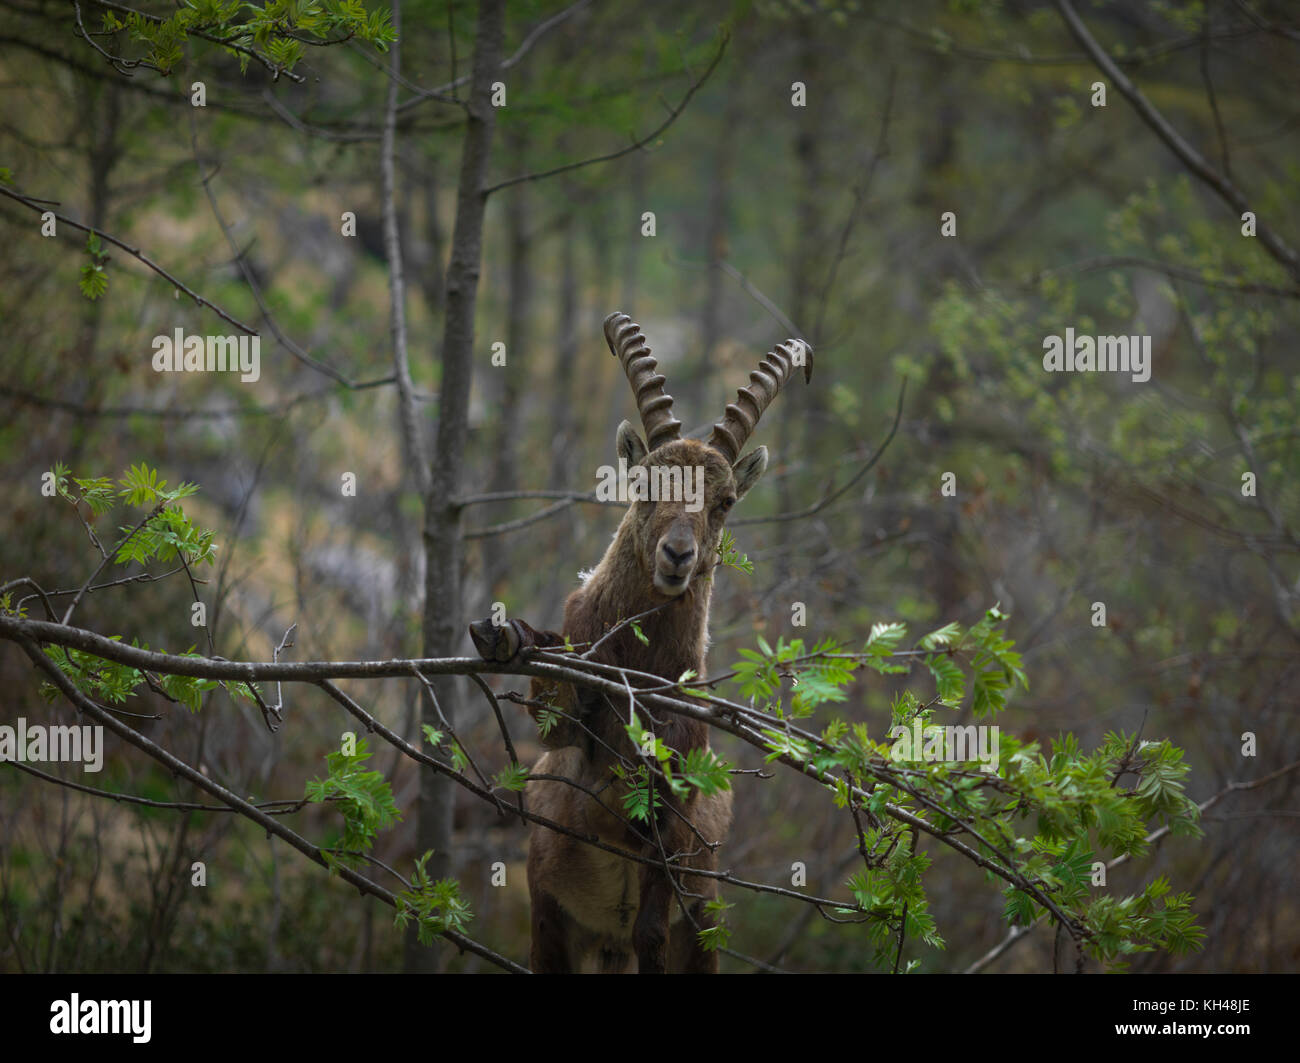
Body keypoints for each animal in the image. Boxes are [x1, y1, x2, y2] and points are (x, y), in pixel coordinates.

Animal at [470, 312, 811, 973]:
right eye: (647, 483)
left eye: (725, 501)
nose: (677, 556)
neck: (643, 668)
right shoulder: (575, 724)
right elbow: (556, 706)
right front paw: (505, 636)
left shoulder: (675, 824)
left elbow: (654, 918)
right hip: (552, 919)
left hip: (696, 926)